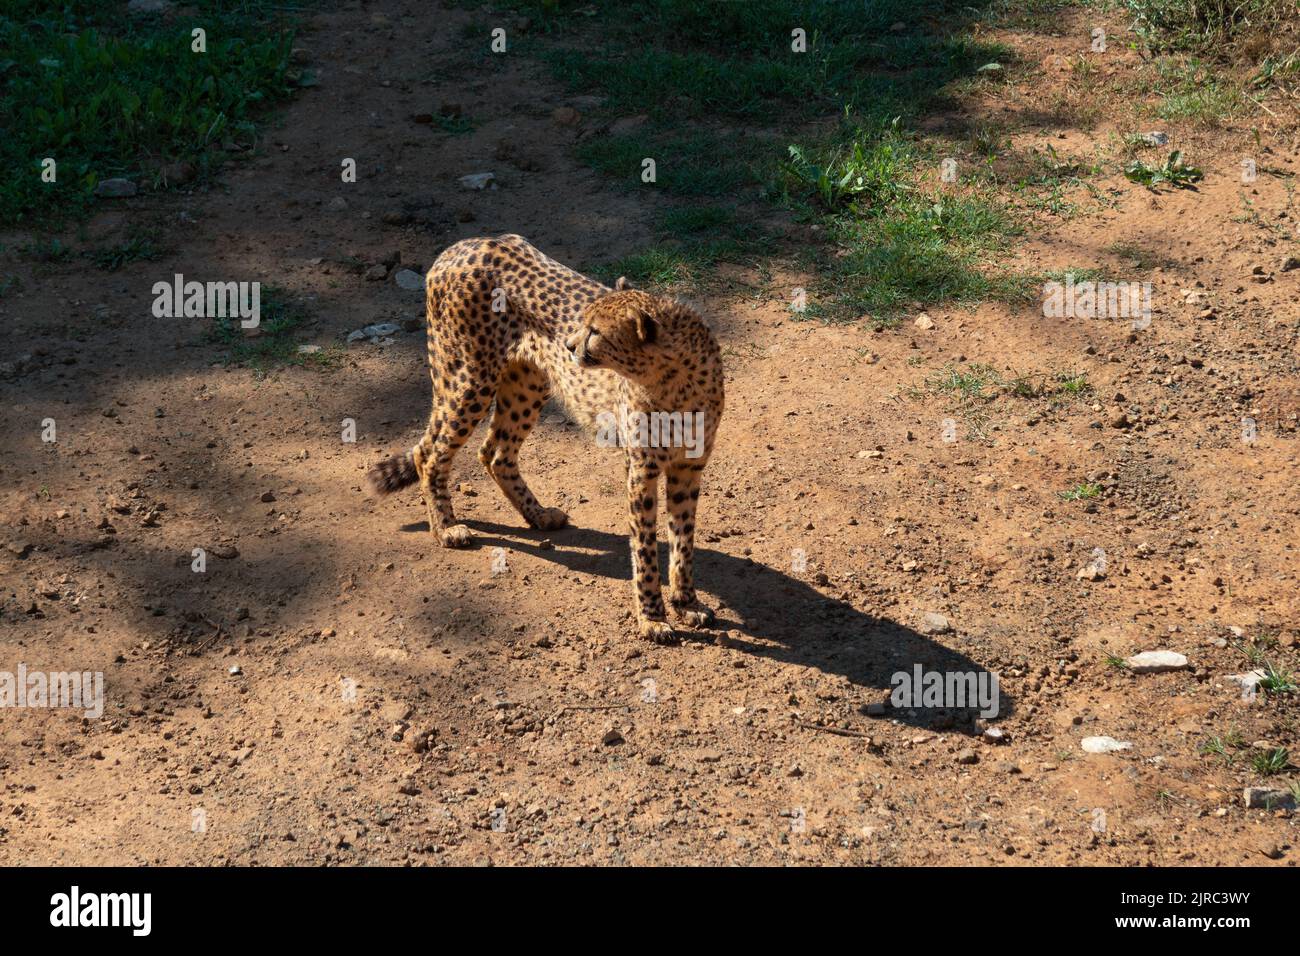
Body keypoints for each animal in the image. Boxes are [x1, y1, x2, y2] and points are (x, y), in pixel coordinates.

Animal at [367, 234, 724, 643]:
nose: (568, 345)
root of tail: (461, 246)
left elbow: (683, 540)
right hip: (469, 379)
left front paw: (687, 602)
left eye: (595, 331)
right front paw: (651, 617)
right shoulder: (642, 471)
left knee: (493, 452)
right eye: (584, 324)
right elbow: (646, 549)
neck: (673, 378)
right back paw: (445, 528)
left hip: (527, 382)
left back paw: (537, 514)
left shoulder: (688, 468)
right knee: (430, 454)